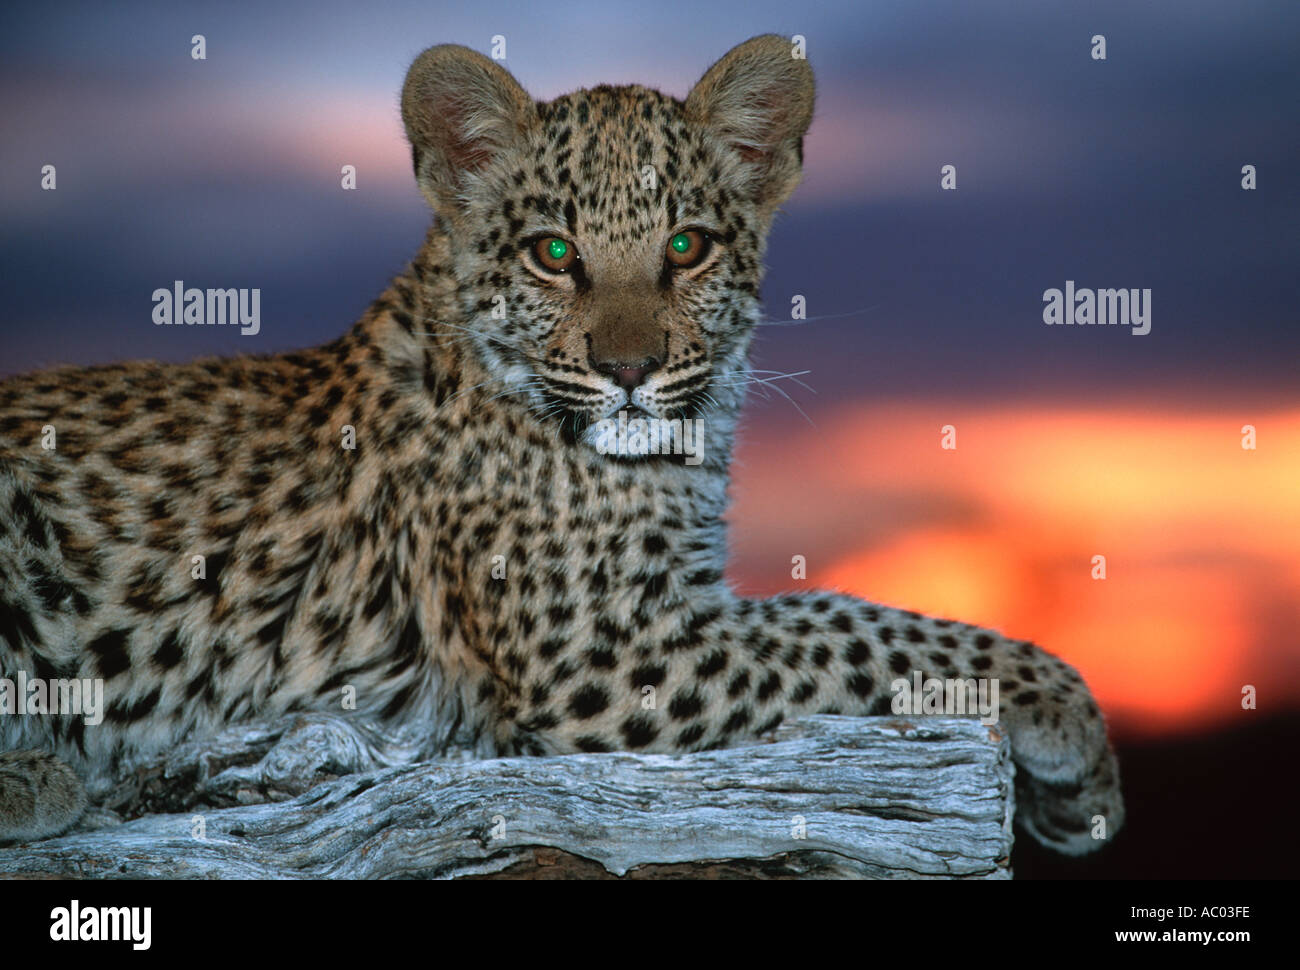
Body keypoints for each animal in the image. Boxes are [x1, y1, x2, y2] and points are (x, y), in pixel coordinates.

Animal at [0, 35, 1123, 857]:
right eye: (552, 254)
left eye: (686, 247)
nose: (629, 369)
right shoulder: (608, 653)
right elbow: (857, 625)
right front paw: (1064, 710)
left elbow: (845, 616)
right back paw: (49, 774)